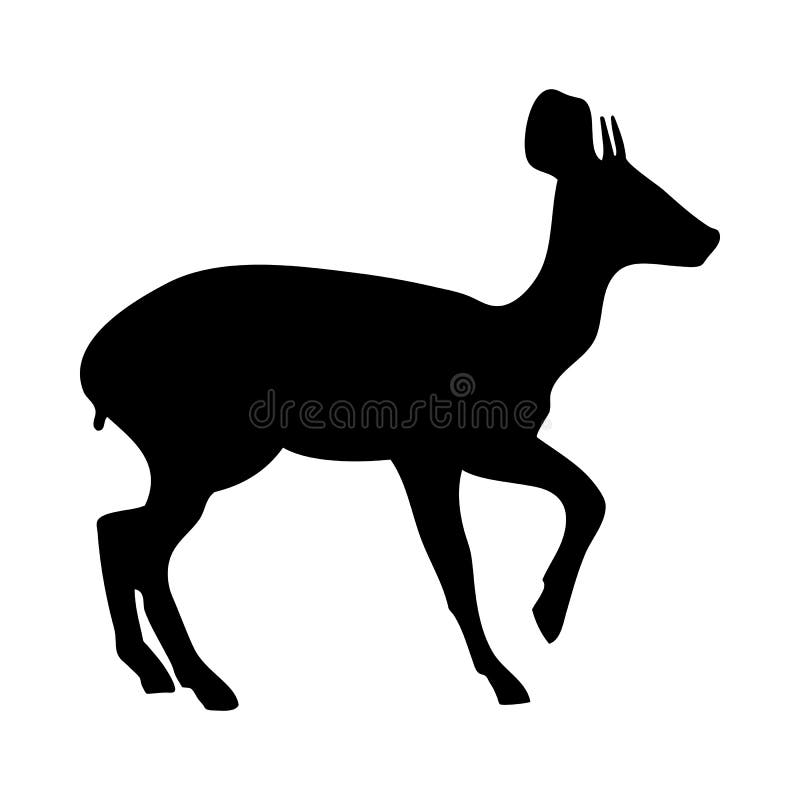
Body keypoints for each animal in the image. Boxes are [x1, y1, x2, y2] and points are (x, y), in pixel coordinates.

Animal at [81, 89, 719, 709]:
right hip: (207, 445)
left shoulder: (485, 446)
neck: (519, 344)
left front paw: (545, 616)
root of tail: (91, 371)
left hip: (188, 454)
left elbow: (586, 495)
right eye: (635, 194)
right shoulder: (430, 449)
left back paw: (160, 674)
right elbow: (458, 565)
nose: (710, 237)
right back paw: (203, 682)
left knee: (120, 531)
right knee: (136, 542)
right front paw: (509, 672)